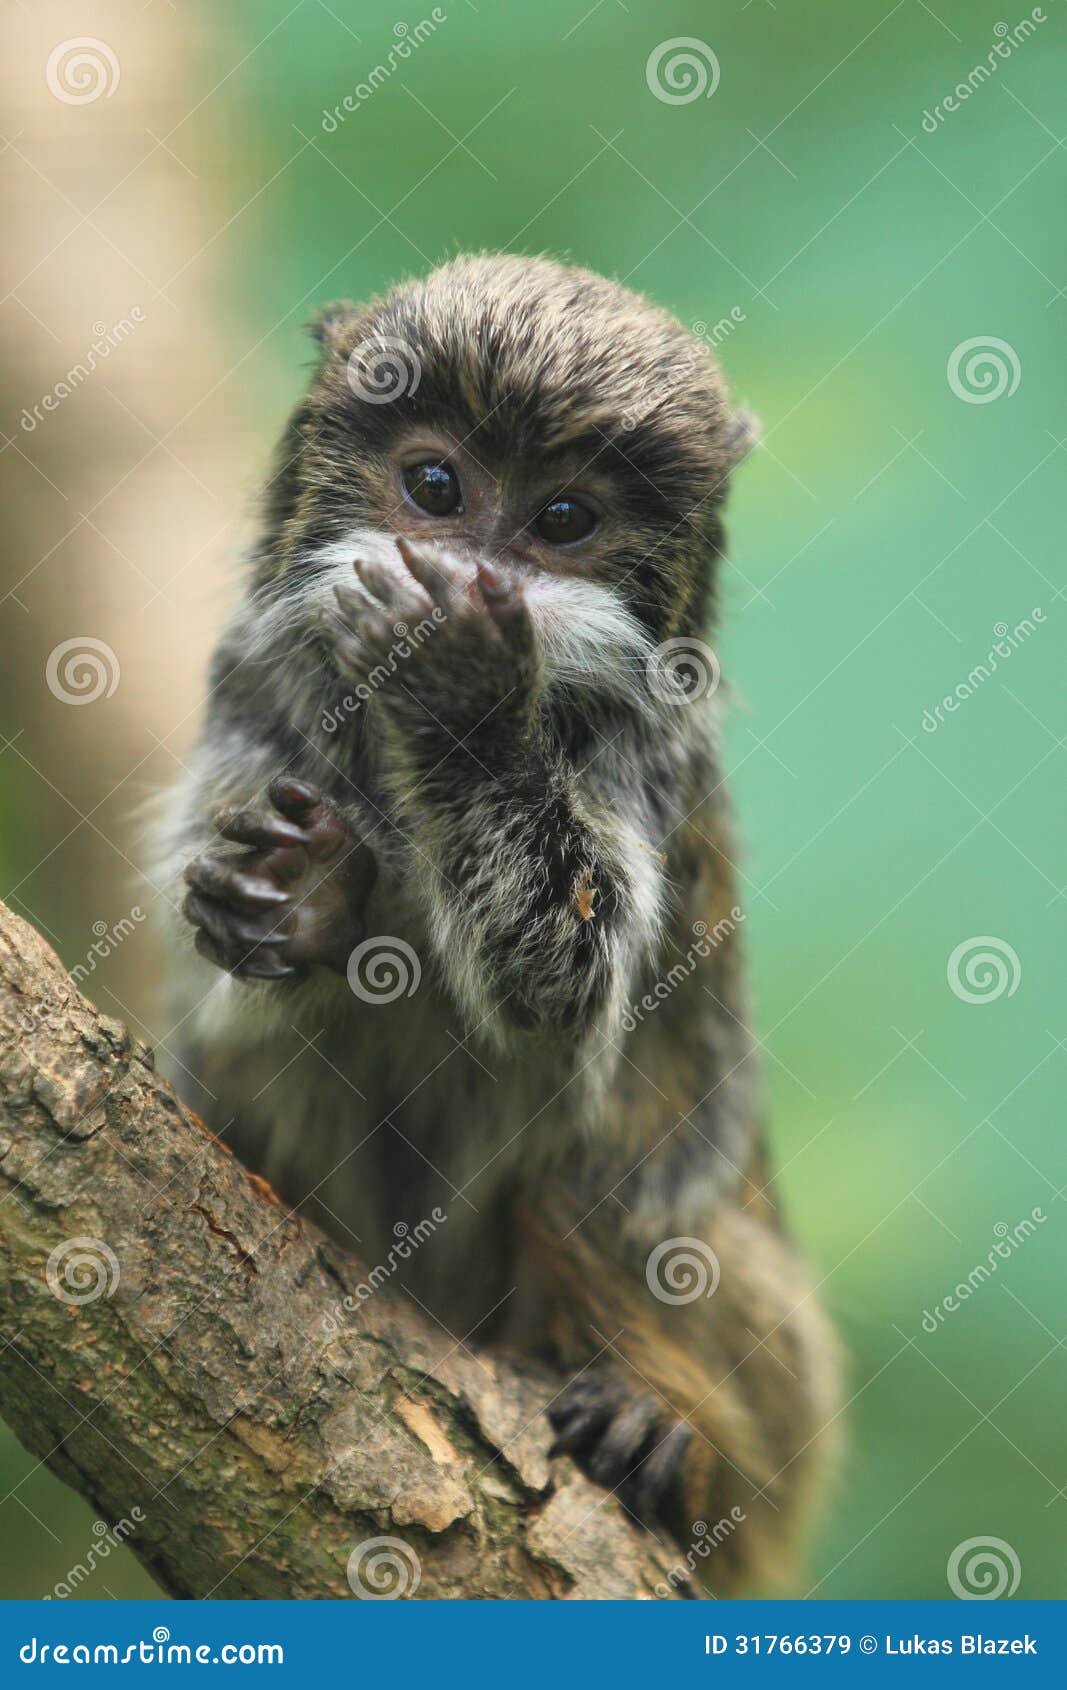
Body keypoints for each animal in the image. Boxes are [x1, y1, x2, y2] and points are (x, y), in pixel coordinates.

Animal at [153, 253, 839, 1594]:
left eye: (562, 519)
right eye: (436, 486)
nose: (482, 573)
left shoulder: (647, 770)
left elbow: (560, 988)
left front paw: (465, 694)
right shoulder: (255, 691)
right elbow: (228, 967)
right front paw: (306, 904)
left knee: (597, 1181)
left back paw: (659, 1419)